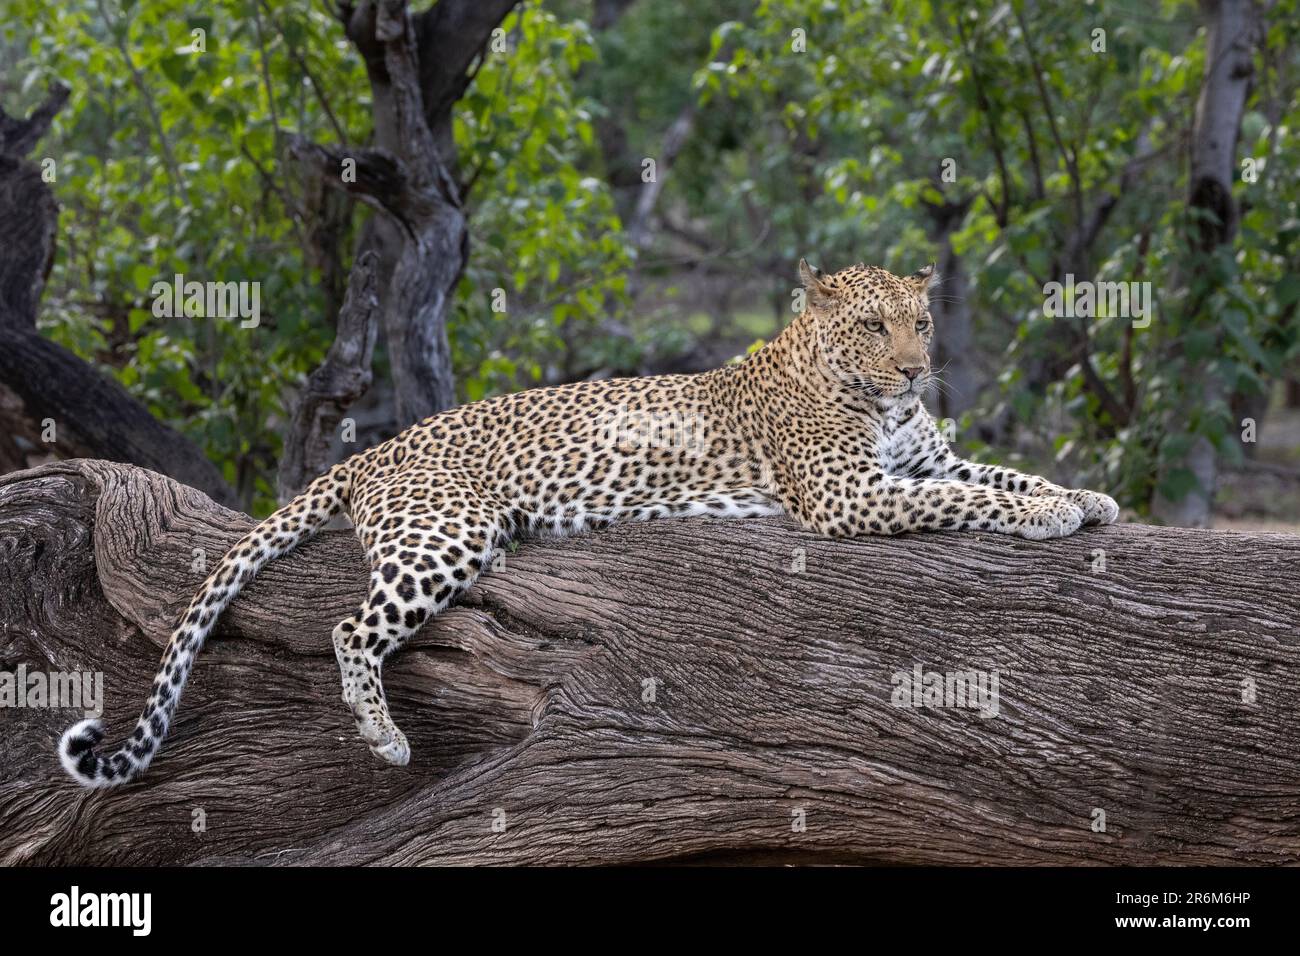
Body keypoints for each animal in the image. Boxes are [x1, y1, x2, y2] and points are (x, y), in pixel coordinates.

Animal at [59, 258, 1118, 787]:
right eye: (872, 326)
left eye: (920, 323)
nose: (913, 370)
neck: (874, 402)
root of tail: (377, 448)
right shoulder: (848, 494)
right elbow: (974, 498)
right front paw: (1054, 512)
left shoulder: (914, 463)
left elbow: (994, 471)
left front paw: (1085, 496)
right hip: (446, 532)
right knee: (348, 627)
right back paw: (387, 739)